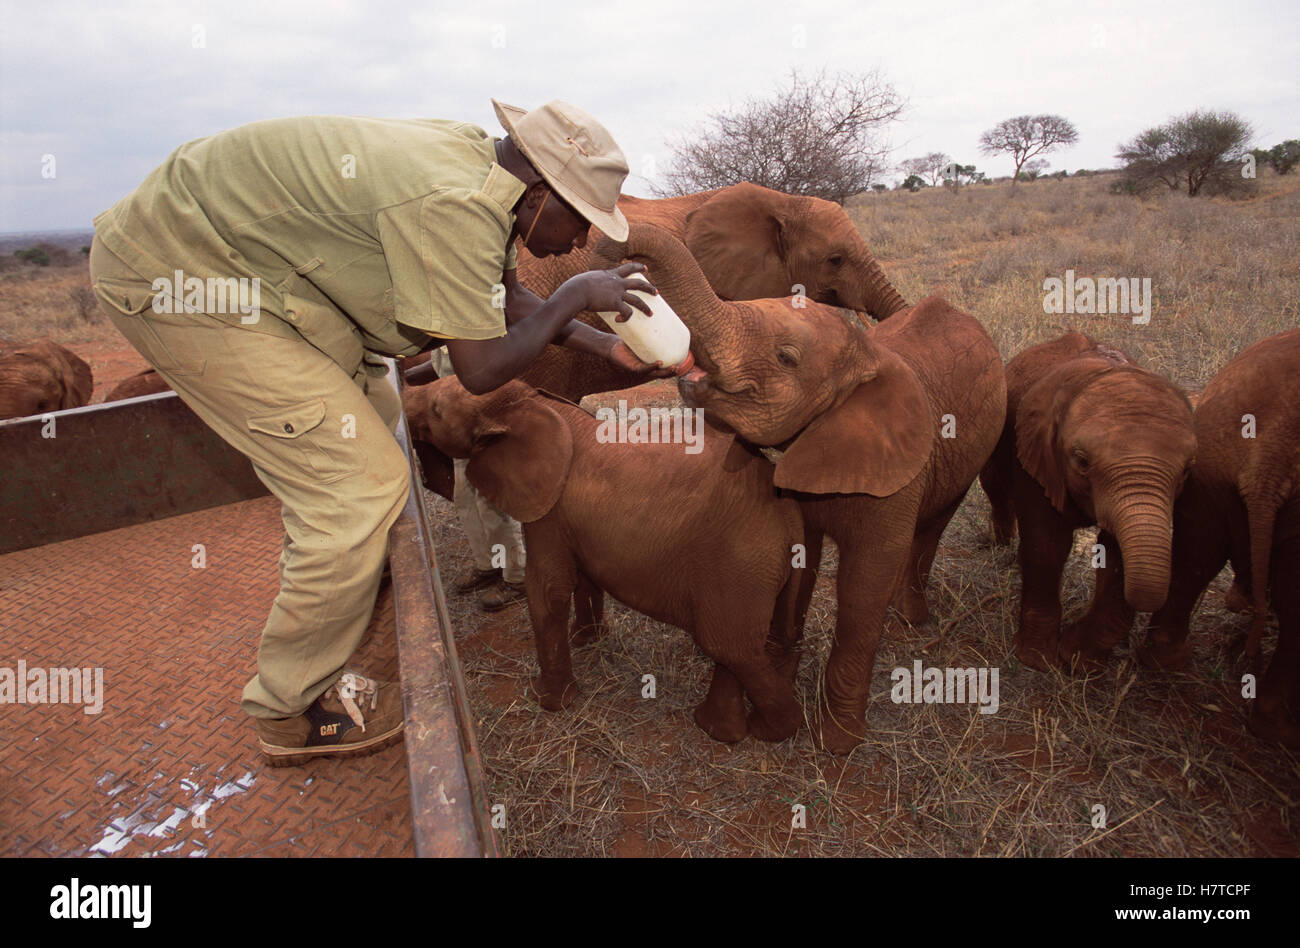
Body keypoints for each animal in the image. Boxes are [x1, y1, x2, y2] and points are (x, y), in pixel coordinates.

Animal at [402, 375, 807, 742]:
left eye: (437, 410)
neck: (534, 403)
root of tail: (788, 513)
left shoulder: (548, 511)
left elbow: (547, 589)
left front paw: (549, 701)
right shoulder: (573, 518)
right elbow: (582, 578)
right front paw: (586, 640)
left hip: (738, 563)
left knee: (730, 646)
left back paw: (766, 731)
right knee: (735, 646)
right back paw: (715, 730)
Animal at [591, 222, 1007, 753]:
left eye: (787, 358)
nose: (614, 246)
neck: (865, 357)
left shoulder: (896, 472)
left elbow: (863, 585)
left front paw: (836, 742)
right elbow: (798, 562)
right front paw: (762, 703)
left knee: (935, 522)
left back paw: (909, 618)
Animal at [978, 333, 1197, 672]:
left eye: (1187, 470)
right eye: (1081, 461)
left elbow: (1116, 555)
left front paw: (1079, 660)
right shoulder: (1036, 451)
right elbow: (1048, 544)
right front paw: (1038, 660)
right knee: (994, 484)